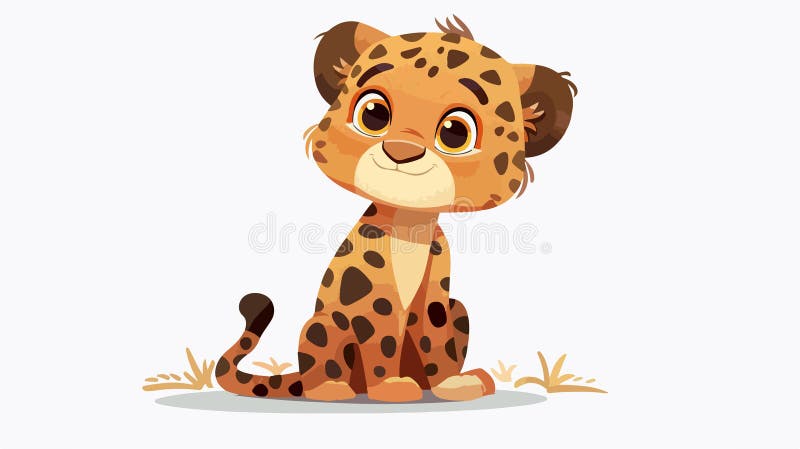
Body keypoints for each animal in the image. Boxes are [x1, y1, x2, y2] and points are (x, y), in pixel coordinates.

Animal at [214, 17, 576, 402]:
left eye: (455, 132)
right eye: (373, 114)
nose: (402, 150)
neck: (409, 224)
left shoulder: (436, 297)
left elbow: (435, 339)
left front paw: (451, 383)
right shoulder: (376, 303)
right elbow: (384, 341)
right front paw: (390, 387)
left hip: (459, 308)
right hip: (320, 326)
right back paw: (330, 388)